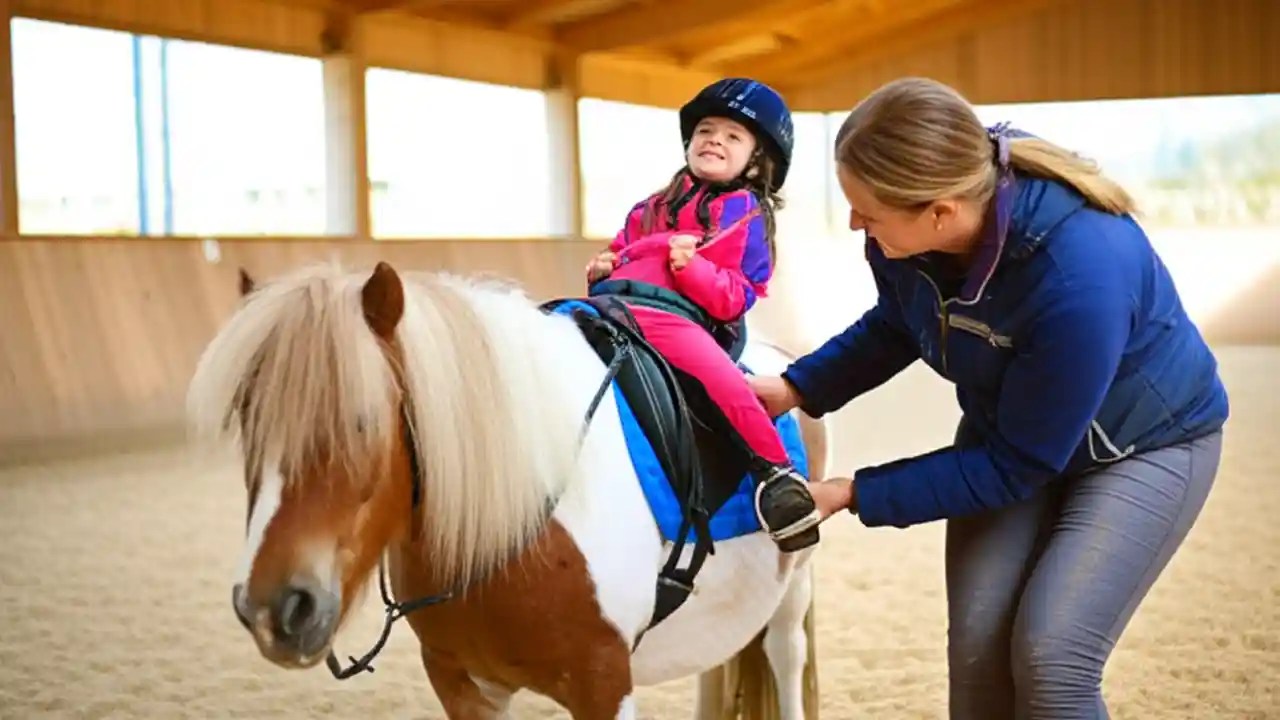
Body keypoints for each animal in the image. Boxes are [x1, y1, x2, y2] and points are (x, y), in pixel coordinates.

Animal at [188, 260, 829, 719]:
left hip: (794, 587)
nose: (272, 608)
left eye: (362, 422)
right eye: (248, 421)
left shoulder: (603, 684)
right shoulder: (461, 683)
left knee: (783, 655)